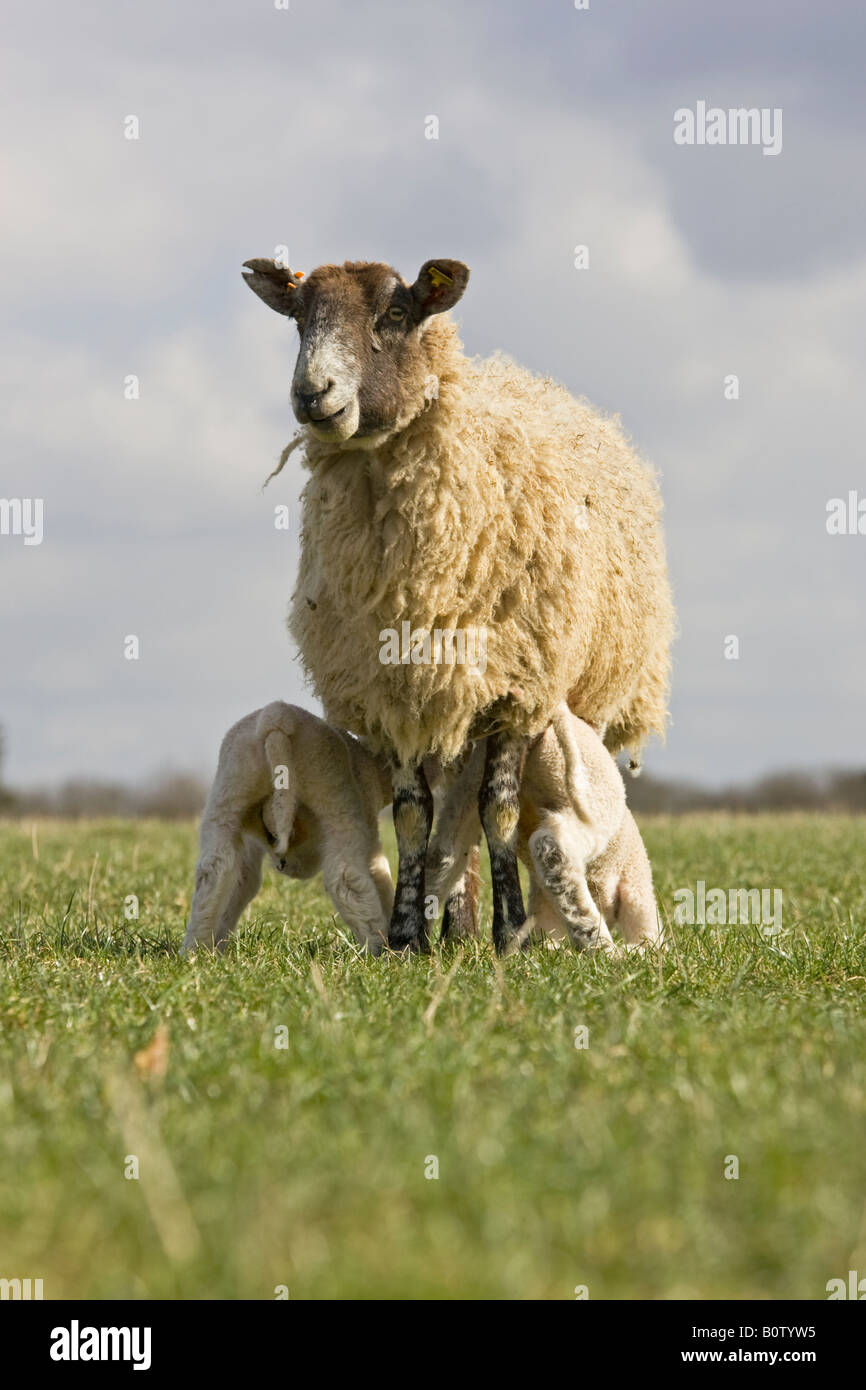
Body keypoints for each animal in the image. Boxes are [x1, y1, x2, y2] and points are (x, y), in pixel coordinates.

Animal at [180, 702, 394, 956]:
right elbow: (380, 872)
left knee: (216, 868)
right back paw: (378, 949)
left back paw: (194, 949)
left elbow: (244, 880)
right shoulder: (369, 822)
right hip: (333, 792)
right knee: (346, 877)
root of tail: (277, 719)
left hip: (230, 788)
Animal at [426, 705, 663, 953]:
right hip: (589, 807)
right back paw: (600, 946)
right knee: (554, 848)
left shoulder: (542, 899)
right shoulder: (636, 888)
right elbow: (650, 937)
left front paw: (547, 947)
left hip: (475, 778)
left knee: (445, 848)